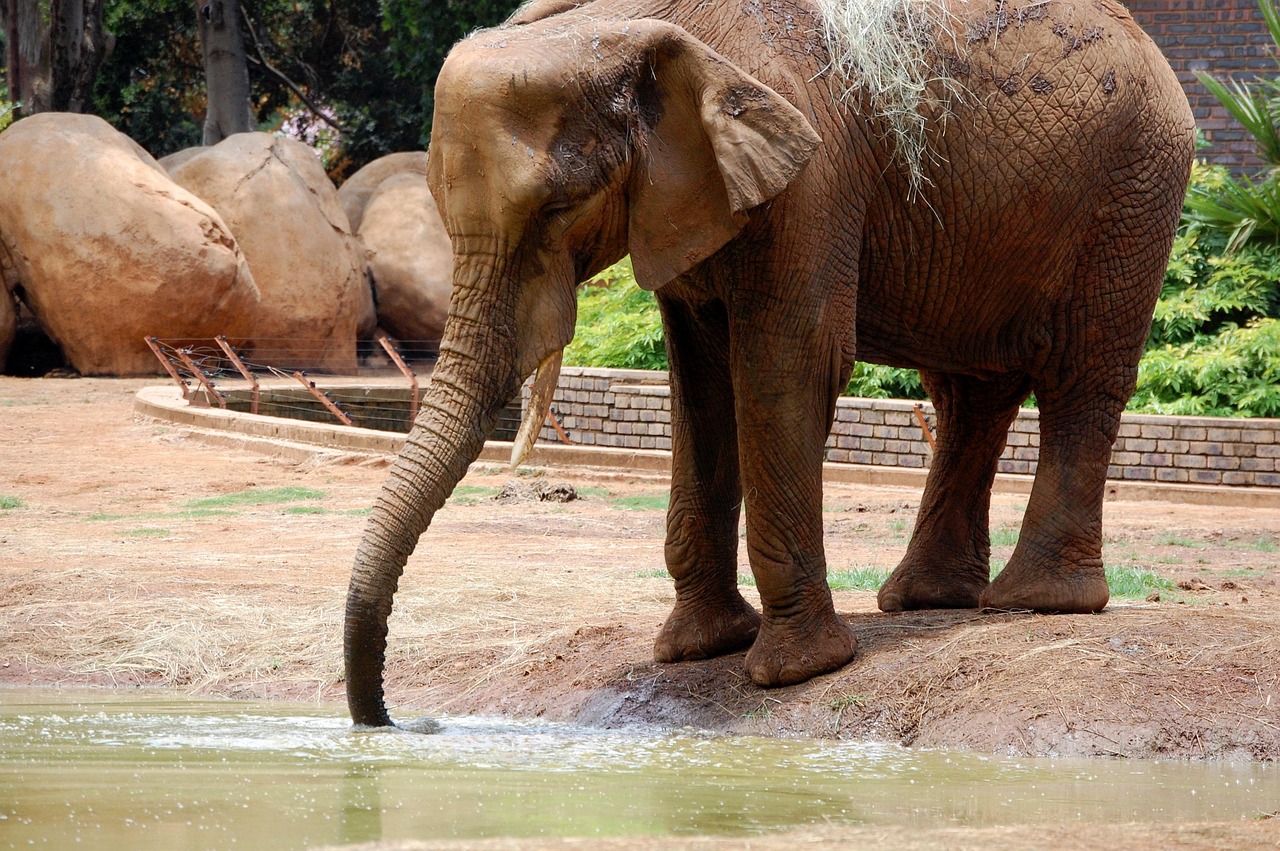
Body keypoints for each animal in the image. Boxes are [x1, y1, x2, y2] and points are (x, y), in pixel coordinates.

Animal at [343, 0, 1195, 726]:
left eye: (559, 207)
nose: (393, 721)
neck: (623, 26)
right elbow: (700, 384)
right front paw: (697, 648)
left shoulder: (809, 179)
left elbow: (791, 365)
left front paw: (795, 671)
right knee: (968, 392)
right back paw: (926, 600)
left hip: (1134, 190)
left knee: (1080, 376)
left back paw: (1035, 602)